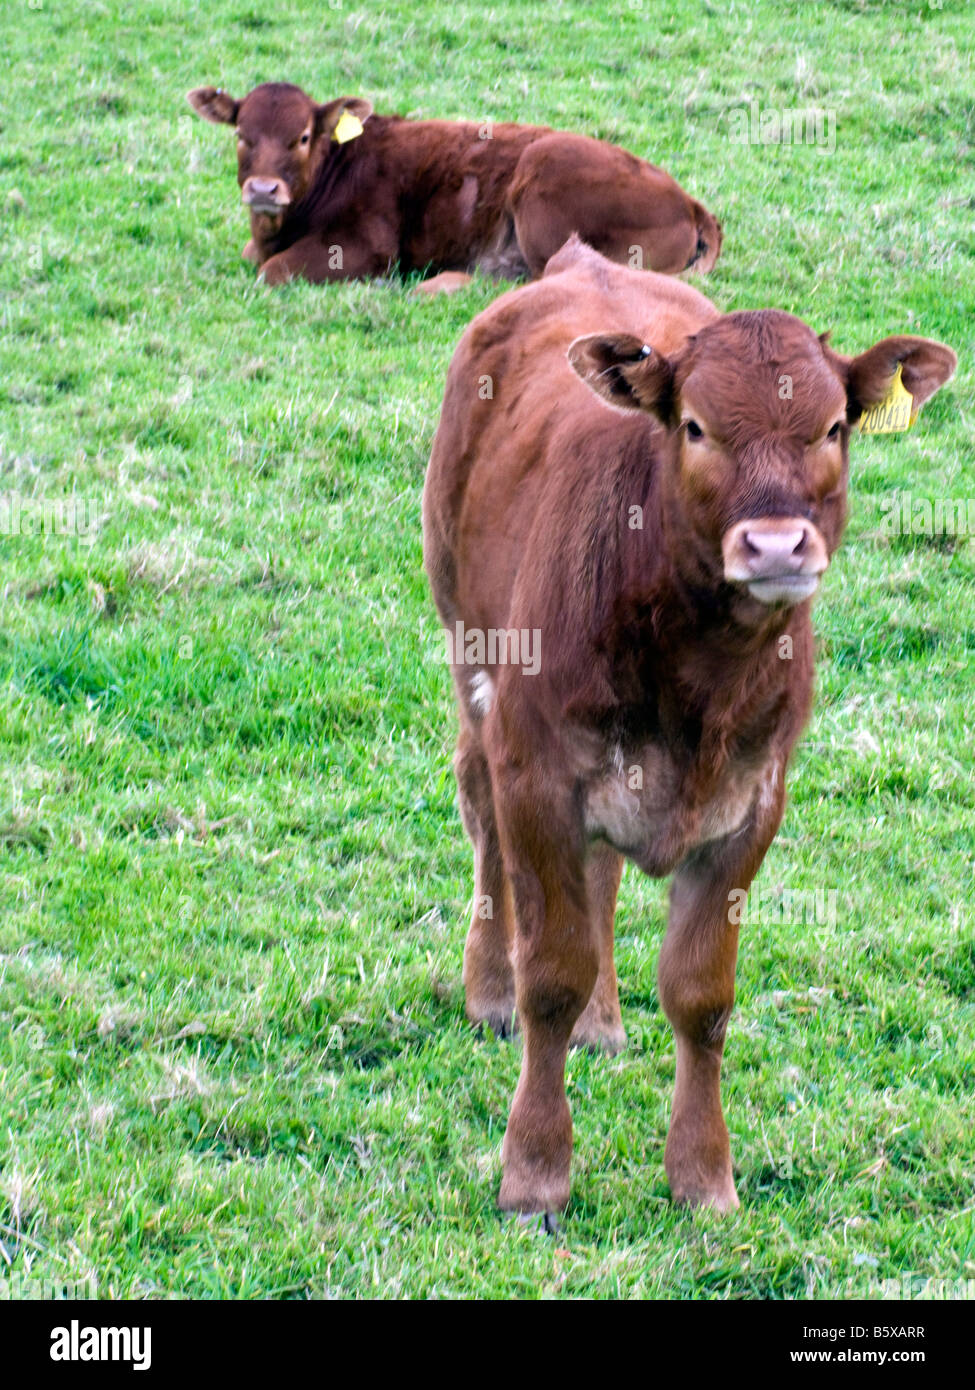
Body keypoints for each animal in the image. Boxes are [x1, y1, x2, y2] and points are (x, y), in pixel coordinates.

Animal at [186, 83, 722, 289]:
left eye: (301, 137)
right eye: (241, 134)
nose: (263, 189)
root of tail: (689, 202)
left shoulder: (366, 245)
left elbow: (270, 270)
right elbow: (253, 258)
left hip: (542, 176)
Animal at [422, 235, 956, 1221]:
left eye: (834, 427)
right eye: (697, 427)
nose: (776, 545)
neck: (696, 675)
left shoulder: (750, 802)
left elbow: (701, 995)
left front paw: (704, 1177)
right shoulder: (535, 770)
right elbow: (549, 973)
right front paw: (534, 1173)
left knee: (598, 879)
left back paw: (602, 1022)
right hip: (464, 642)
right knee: (478, 808)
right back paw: (487, 991)